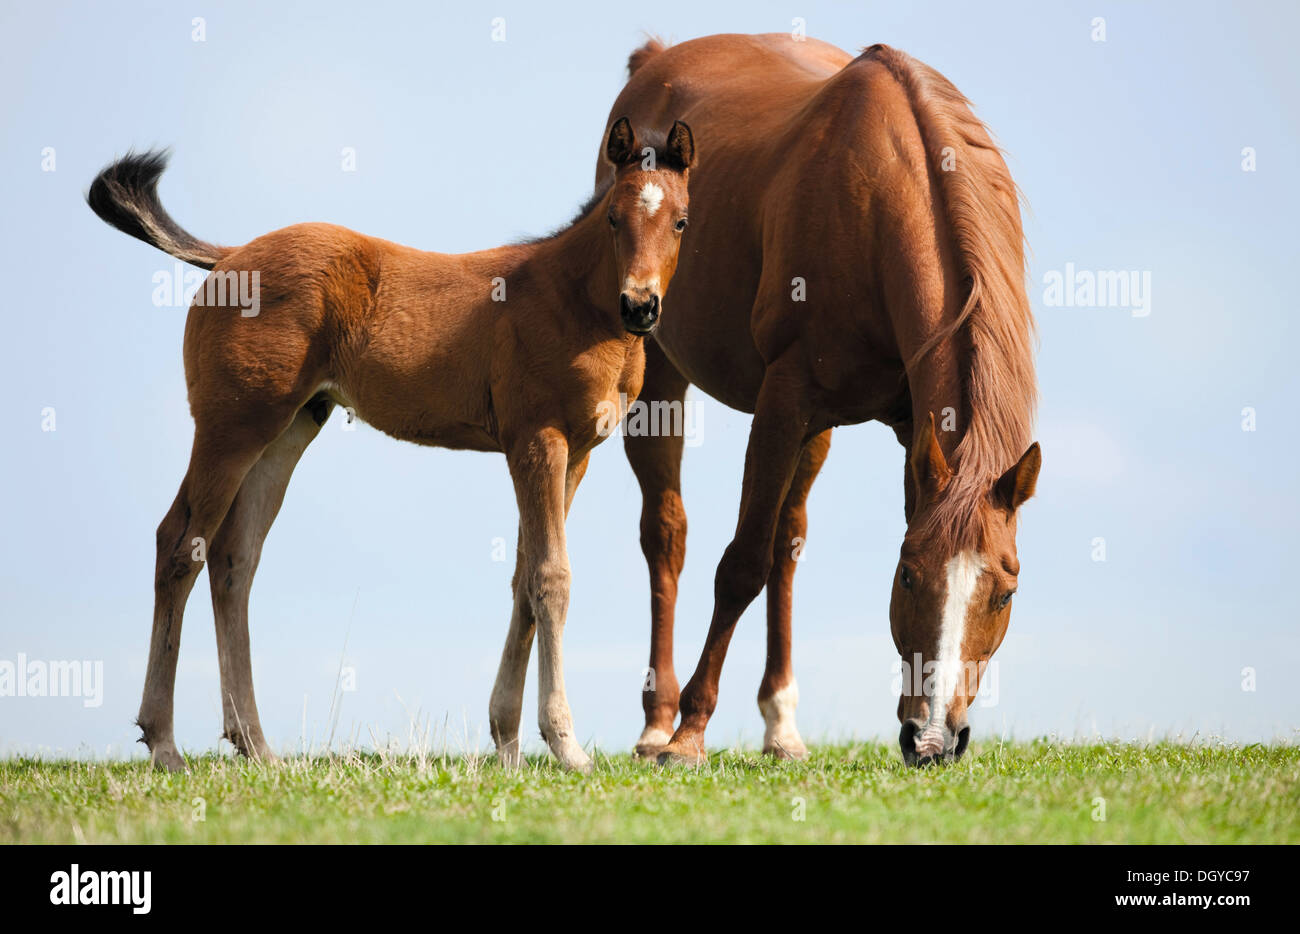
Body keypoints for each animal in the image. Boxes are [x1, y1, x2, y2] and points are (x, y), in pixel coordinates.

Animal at [87, 117, 696, 773]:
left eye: (681, 220)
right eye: (613, 216)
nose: (640, 306)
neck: (575, 304)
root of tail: (229, 257)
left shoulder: (574, 455)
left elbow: (522, 577)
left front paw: (506, 742)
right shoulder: (538, 442)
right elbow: (550, 577)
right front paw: (566, 745)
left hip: (288, 428)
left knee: (234, 558)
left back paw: (256, 744)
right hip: (230, 426)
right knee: (179, 545)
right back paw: (165, 743)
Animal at [597, 35, 1040, 766]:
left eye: (1004, 595)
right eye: (909, 575)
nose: (934, 740)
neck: (882, 196)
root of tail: (656, 59)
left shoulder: (909, 429)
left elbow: (774, 551)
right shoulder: (783, 399)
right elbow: (739, 565)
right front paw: (689, 734)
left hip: (819, 429)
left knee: (787, 544)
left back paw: (781, 724)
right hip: (663, 381)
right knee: (667, 536)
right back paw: (658, 722)